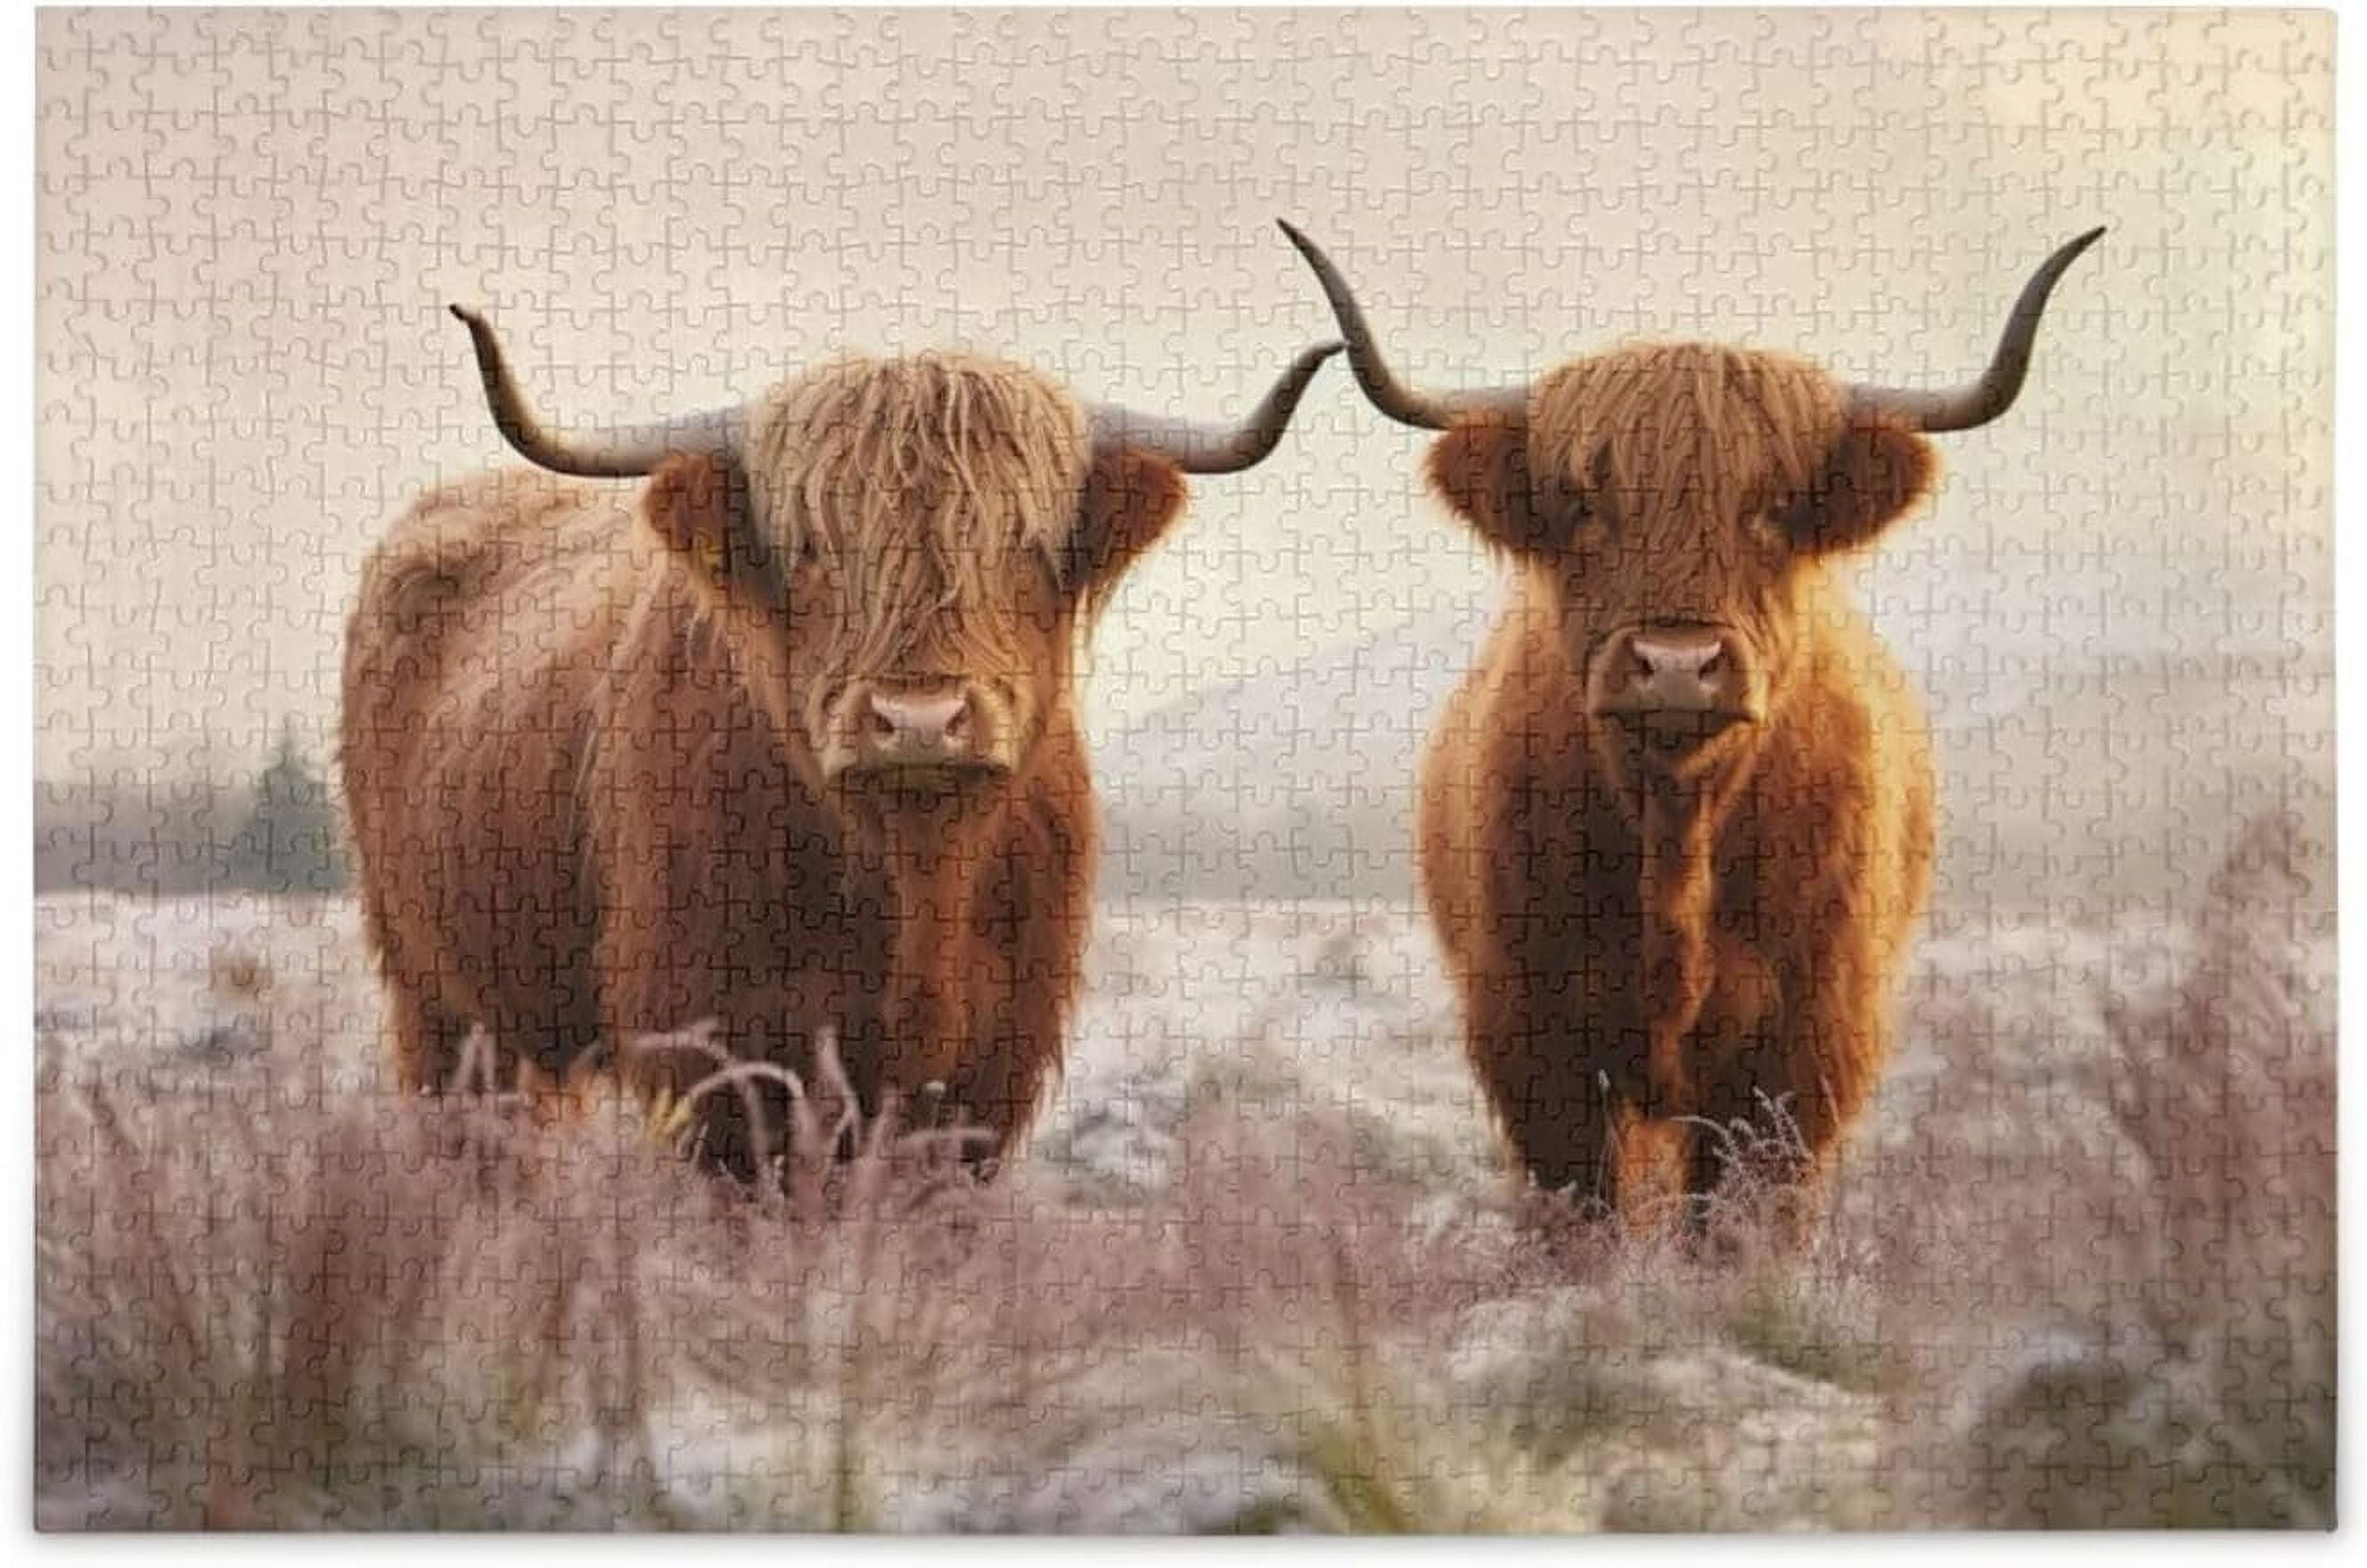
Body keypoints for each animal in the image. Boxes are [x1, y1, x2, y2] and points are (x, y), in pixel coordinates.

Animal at [341, 306, 1339, 1177]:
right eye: (815, 547)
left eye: (1022, 543)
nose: (919, 720)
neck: (913, 884)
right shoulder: (721, 1053)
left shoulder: (988, 1071)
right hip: (439, 1002)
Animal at [1282, 222, 2101, 1233]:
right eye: (1583, 505)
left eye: (1774, 505)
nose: (1676, 664)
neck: (1677, 829)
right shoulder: (1536, 1046)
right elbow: (1585, 1220)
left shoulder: (1802, 1048)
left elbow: (1742, 1223)